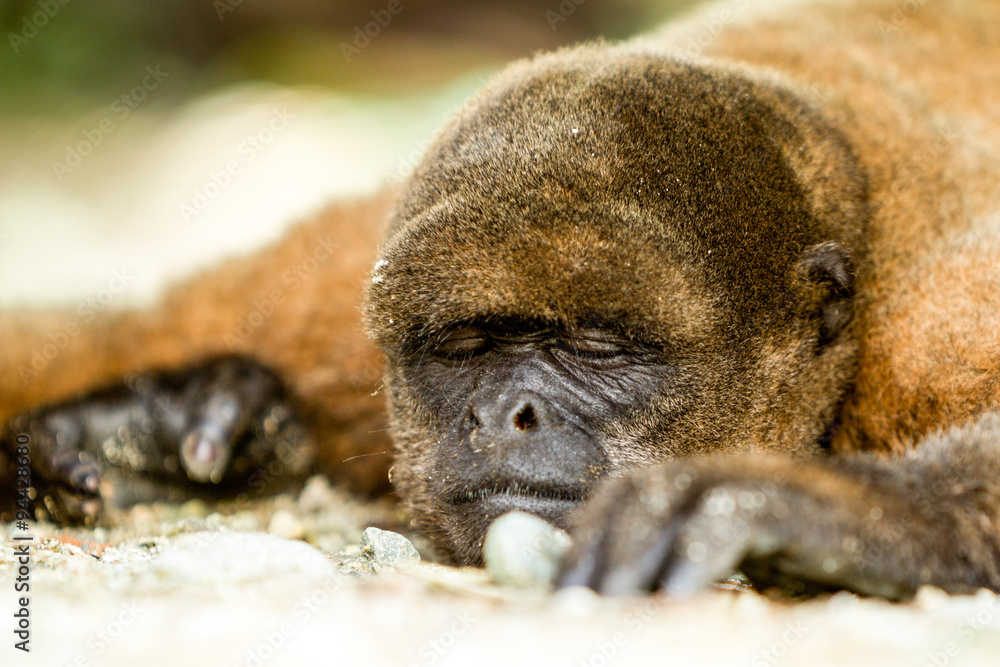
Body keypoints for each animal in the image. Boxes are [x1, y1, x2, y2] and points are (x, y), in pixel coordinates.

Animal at [3, 0, 1000, 601]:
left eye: (598, 346)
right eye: (464, 344)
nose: (501, 412)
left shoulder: (922, 330)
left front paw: (820, 509)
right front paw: (149, 422)